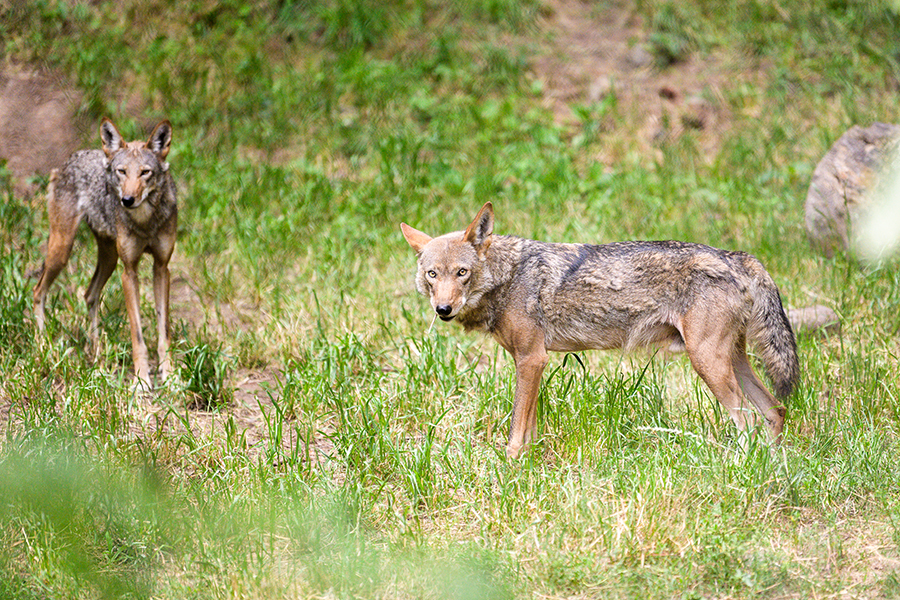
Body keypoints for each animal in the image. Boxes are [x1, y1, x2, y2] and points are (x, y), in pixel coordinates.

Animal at [33, 118, 178, 389]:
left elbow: (163, 332)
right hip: (62, 251)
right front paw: (142, 380)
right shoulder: (128, 272)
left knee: (89, 295)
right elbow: (137, 334)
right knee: (38, 291)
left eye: (145, 172)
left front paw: (171, 377)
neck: (145, 222)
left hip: (109, 259)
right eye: (122, 171)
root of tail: (71, 158)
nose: (127, 200)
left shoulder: (162, 268)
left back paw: (97, 355)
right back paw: (44, 345)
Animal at [401, 202, 799, 458]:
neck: (509, 275)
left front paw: (509, 468)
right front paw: (528, 465)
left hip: (707, 363)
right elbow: (529, 428)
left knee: (749, 420)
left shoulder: (532, 359)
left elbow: (516, 428)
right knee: (775, 411)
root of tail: (736, 255)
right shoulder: (531, 363)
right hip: (732, 361)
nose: (443, 310)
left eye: (462, 273)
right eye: (432, 274)